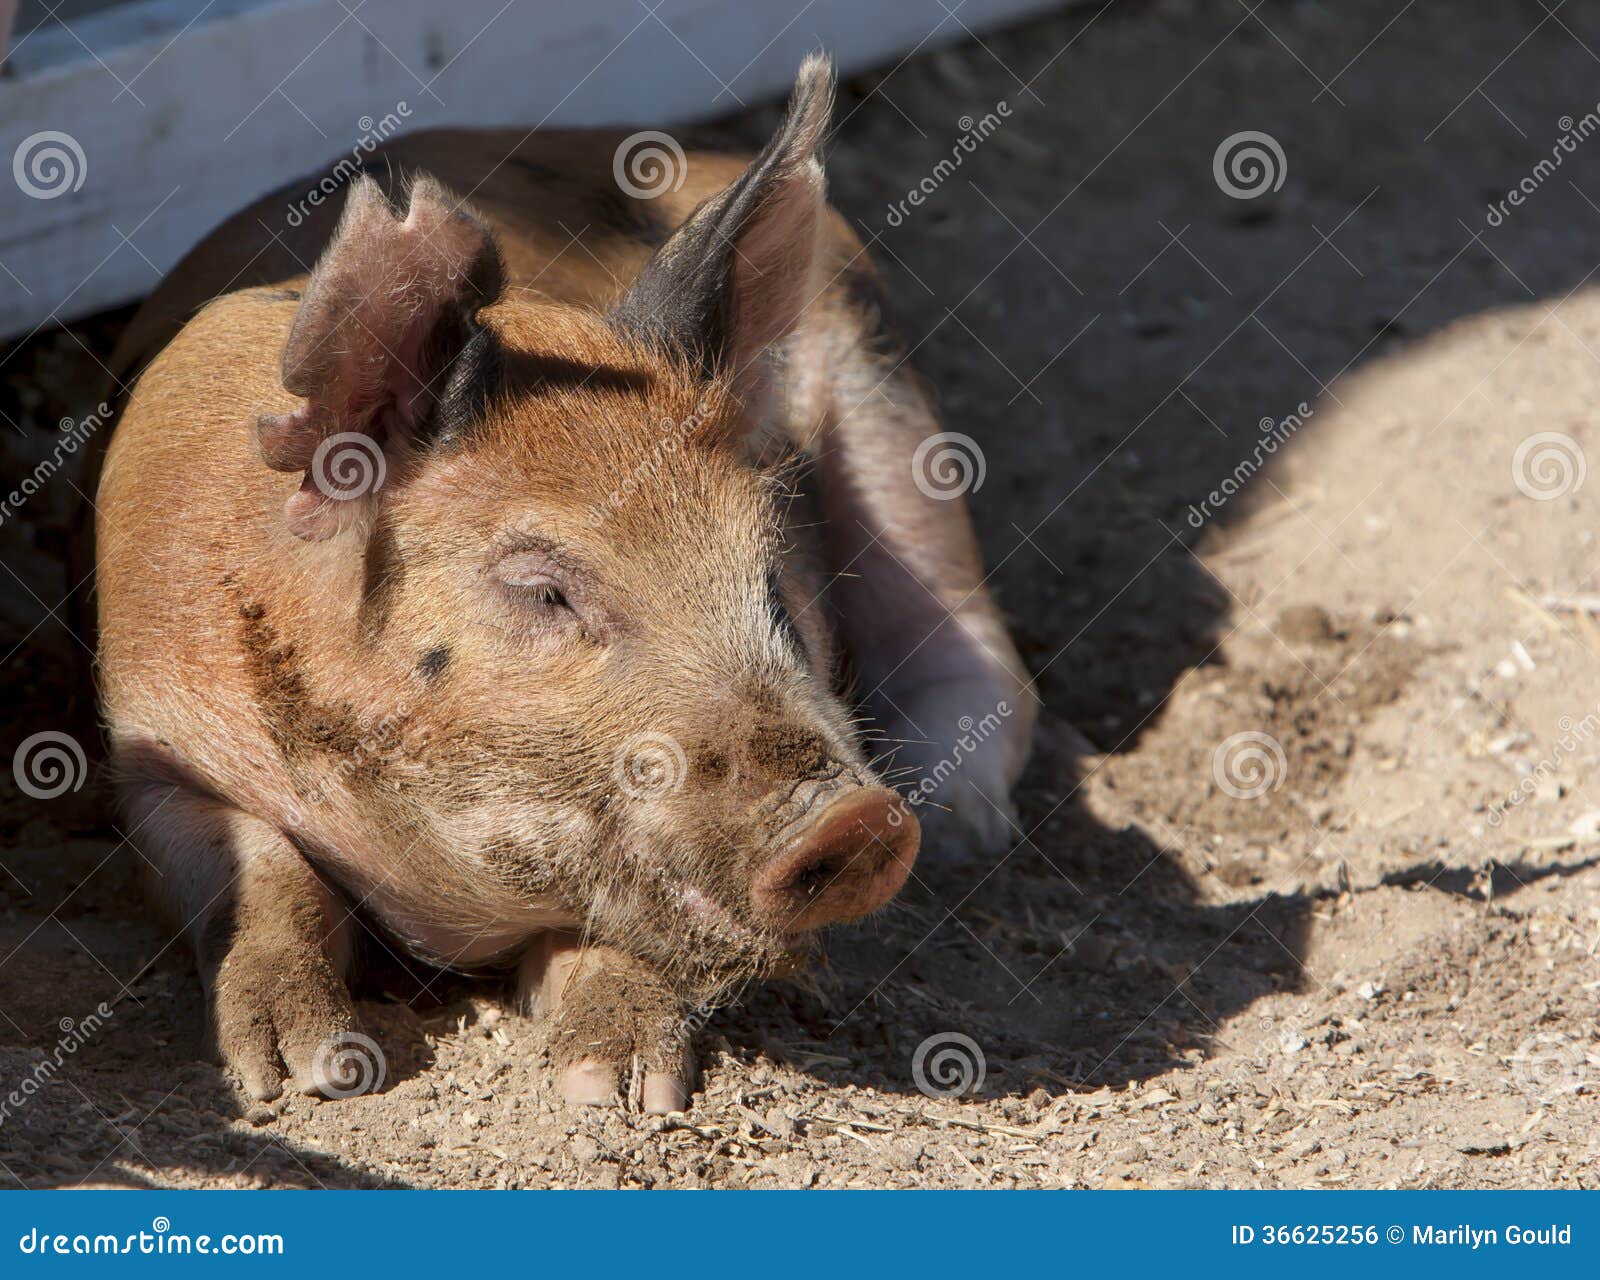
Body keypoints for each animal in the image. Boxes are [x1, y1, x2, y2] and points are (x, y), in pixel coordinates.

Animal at [92, 54, 1035, 1113]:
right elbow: (263, 872)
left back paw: (962, 830)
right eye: (544, 591)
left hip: (885, 396)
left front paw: (617, 1088)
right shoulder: (151, 744)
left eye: (771, 580)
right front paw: (307, 1074)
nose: (856, 819)